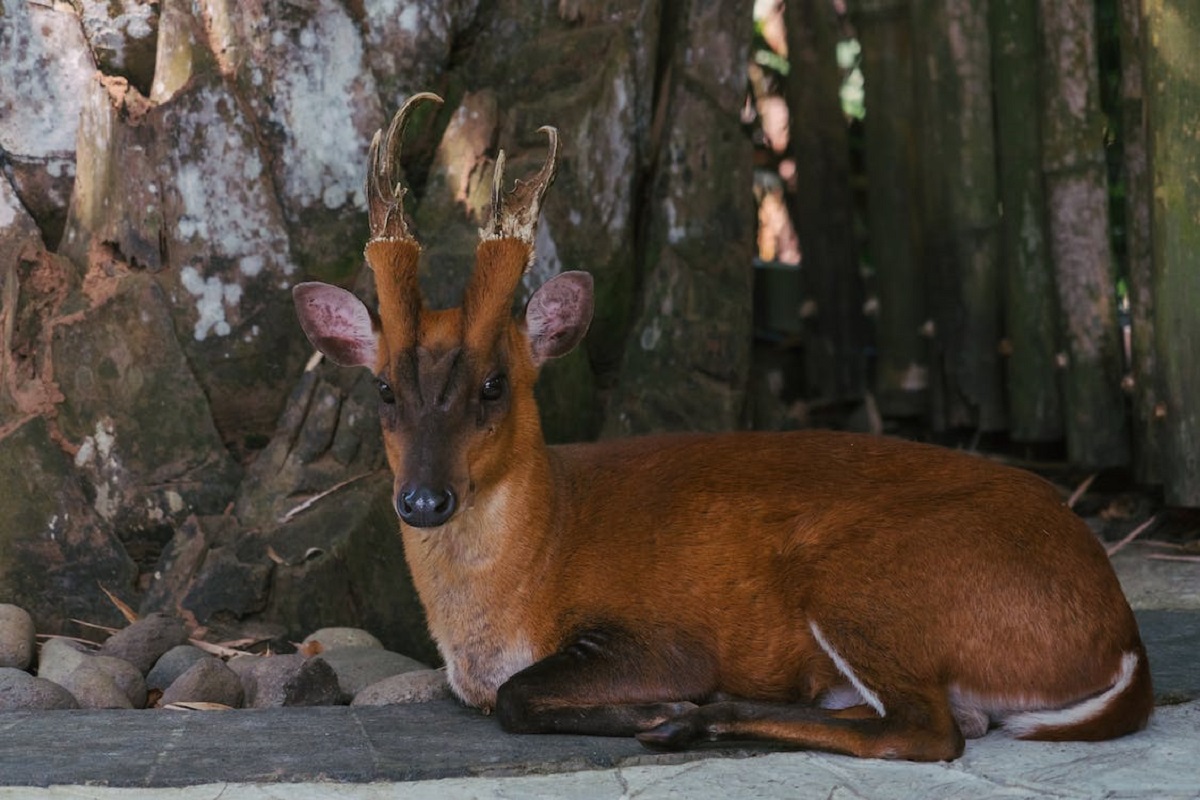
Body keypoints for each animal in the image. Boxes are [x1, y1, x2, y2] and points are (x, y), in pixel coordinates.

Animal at [292, 93, 1153, 761]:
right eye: (383, 390)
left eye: (494, 385)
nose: (423, 500)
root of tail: (1123, 638)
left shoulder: (662, 635)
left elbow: (516, 700)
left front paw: (660, 708)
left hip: (867, 580)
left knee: (924, 728)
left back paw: (693, 719)